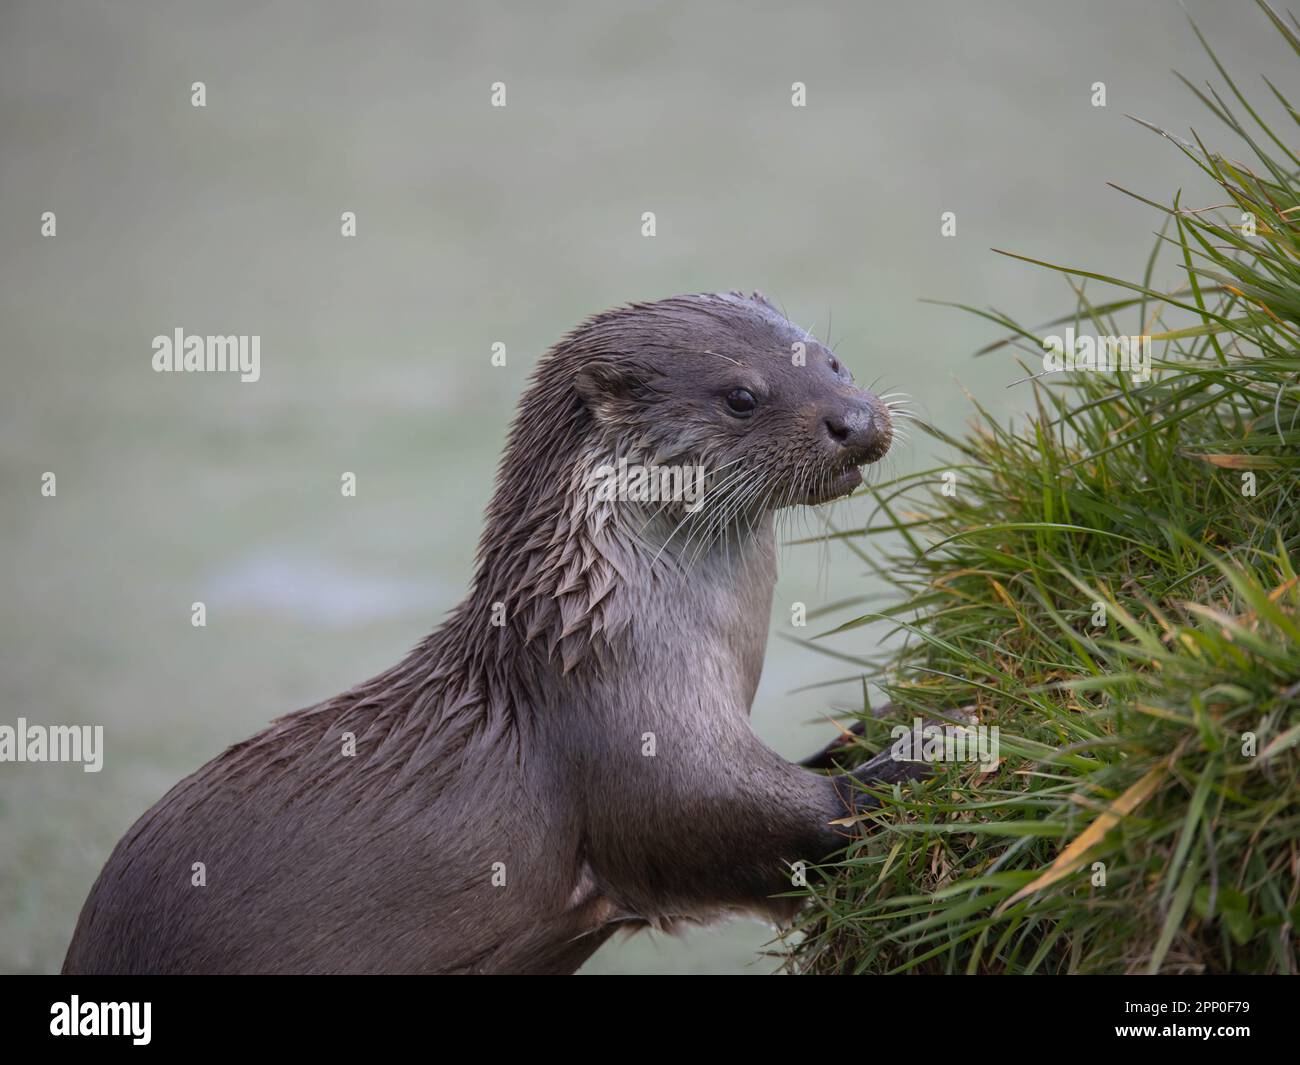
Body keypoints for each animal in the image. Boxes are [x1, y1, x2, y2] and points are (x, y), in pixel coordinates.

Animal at [63, 291, 923, 975]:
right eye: (741, 395)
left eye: (833, 359)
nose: (854, 420)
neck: (587, 632)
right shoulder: (637, 739)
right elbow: (721, 816)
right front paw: (912, 761)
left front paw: (885, 722)